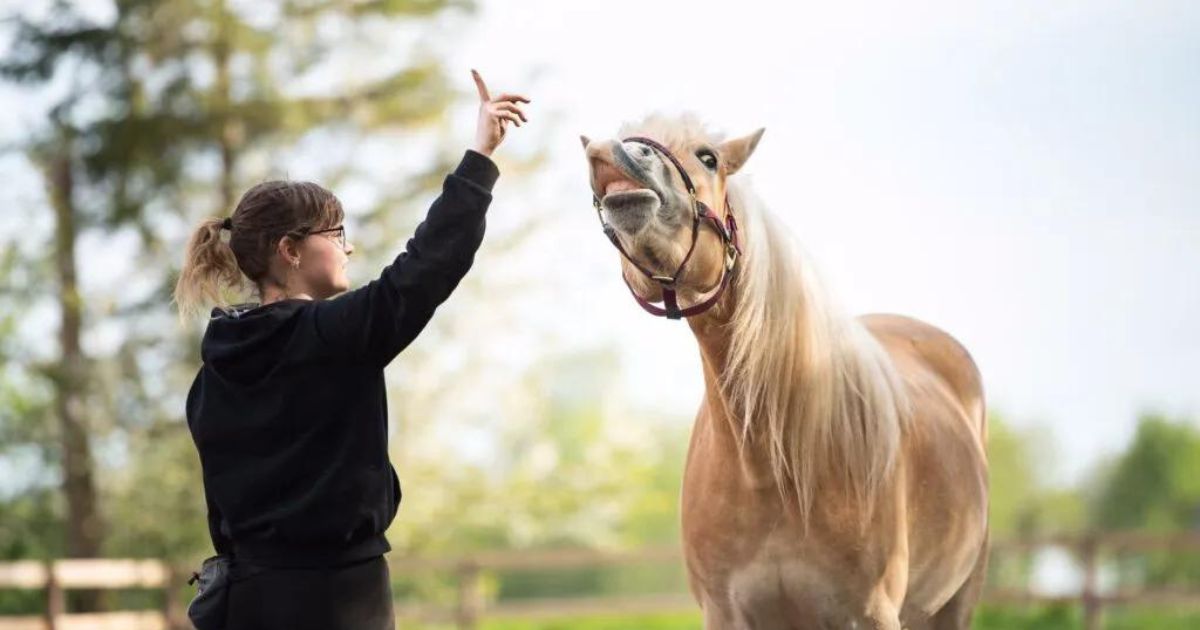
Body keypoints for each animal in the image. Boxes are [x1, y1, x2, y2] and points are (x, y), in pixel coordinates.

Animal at [581, 114, 989, 630]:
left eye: (708, 157)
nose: (613, 152)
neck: (770, 467)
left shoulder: (871, 614)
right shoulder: (725, 613)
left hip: (957, 599)